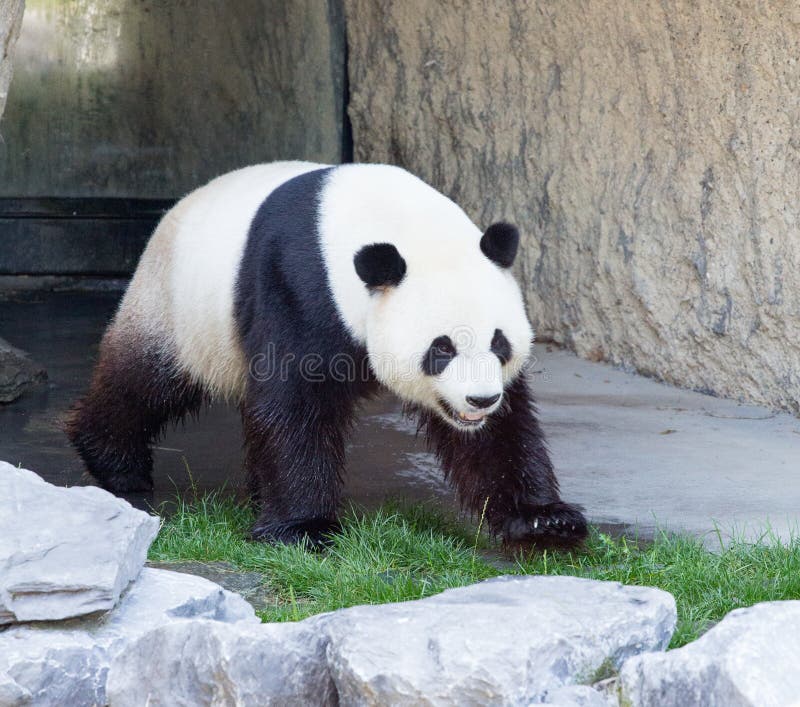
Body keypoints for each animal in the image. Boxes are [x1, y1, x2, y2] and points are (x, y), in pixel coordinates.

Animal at [67, 161, 587, 550]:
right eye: (441, 348)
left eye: (499, 343)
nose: (479, 400)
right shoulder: (298, 284)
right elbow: (295, 402)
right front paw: (305, 530)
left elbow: (502, 431)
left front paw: (544, 520)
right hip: (179, 309)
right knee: (146, 382)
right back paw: (114, 462)